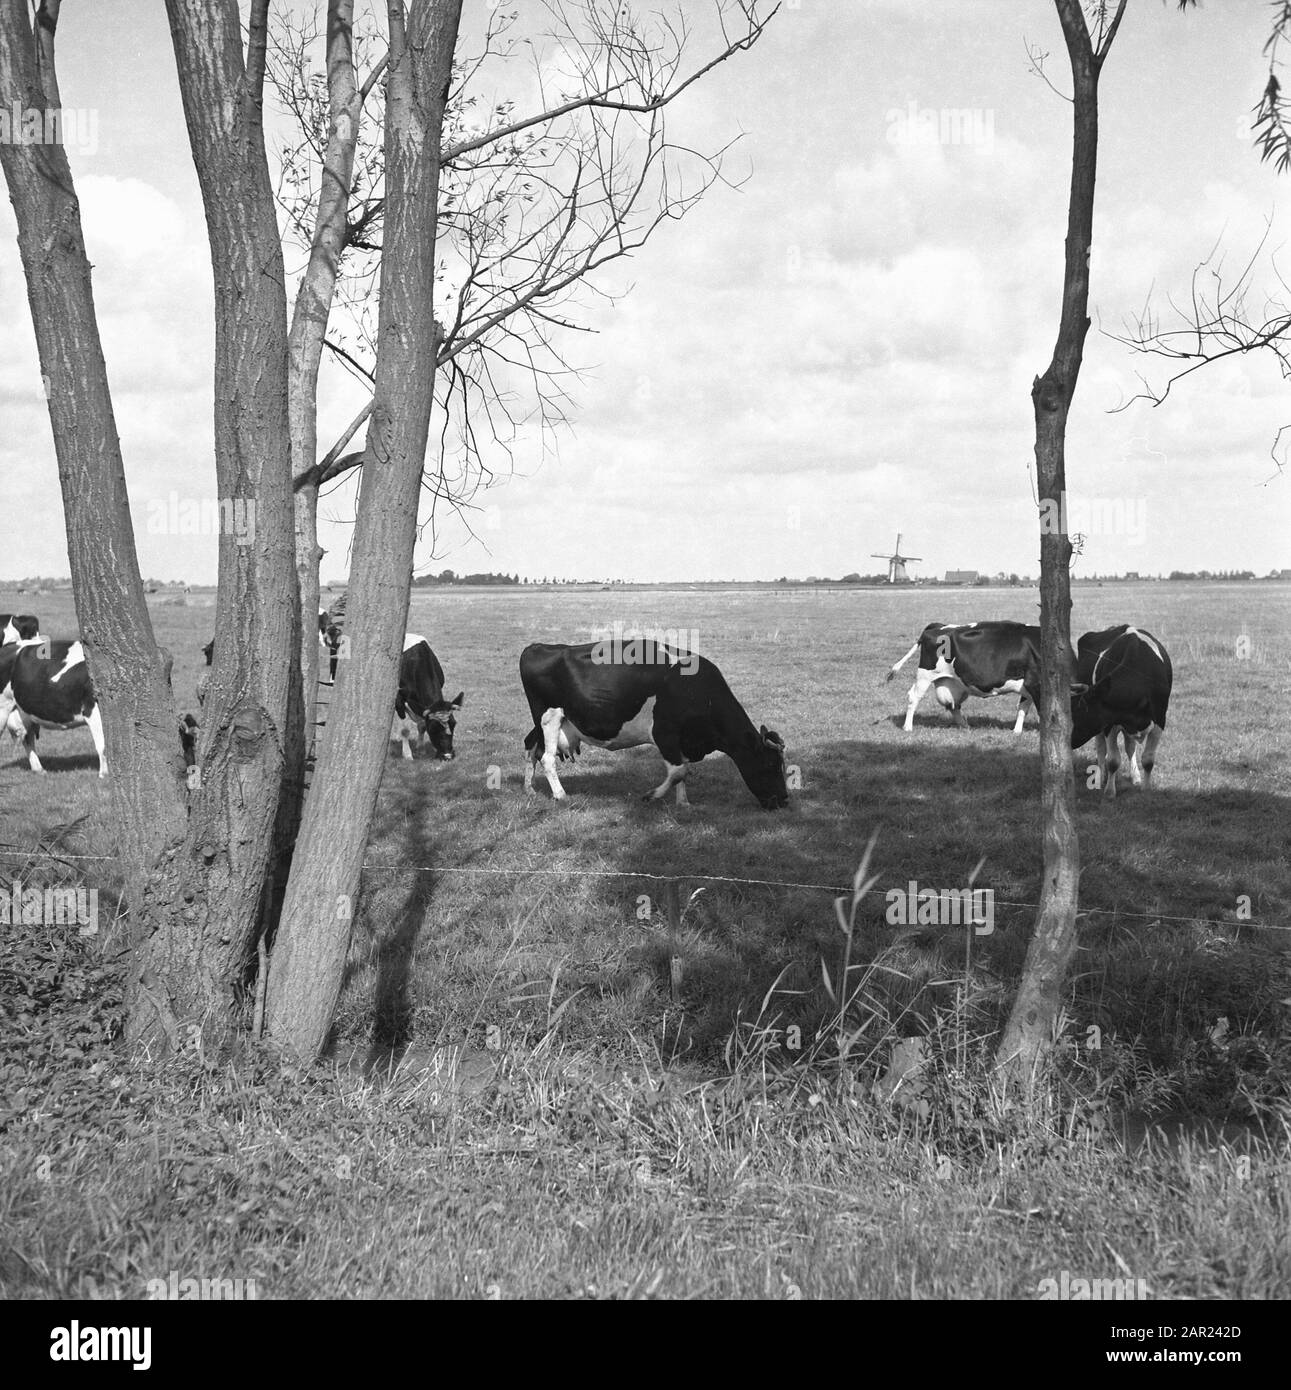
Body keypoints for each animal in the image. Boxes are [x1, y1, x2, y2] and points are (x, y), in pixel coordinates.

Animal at [0, 638, 106, 778]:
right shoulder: (93, 711)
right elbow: (102, 745)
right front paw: (105, 774)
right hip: (2, 707)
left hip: (23, 711)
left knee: (28, 738)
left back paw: (38, 769)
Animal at [519, 639, 788, 808]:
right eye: (770, 765)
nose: (785, 801)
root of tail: (538, 647)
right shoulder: (664, 732)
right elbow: (679, 771)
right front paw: (651, 795)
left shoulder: (681, 739)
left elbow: (683, 771)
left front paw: (683, 803)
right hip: (550, 717)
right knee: (547, 758)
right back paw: (561, 795)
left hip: (545, 723)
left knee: (531, 745)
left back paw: (529, 789)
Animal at [887, 621, 1042, 732]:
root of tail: (938, 625)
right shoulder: (1035, 683)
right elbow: (1041, 711)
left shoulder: (1028, 685)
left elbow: (1022, 709)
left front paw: (1017, 731)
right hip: (925, 675)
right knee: (914, 697)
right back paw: (908, 727)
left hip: (951, 682)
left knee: (953, 705)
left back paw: (965, 726)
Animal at [1071, 625, 1172, 798]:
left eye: (1081, 712)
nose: (1070, 741)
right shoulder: (1109, 724)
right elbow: (1113, 761)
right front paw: (1110, 792)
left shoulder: (1160, 719)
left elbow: (1148, 759)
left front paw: (1146, 788)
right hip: (1102, 730)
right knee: (1101, 749)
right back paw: (1101, 777)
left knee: (1130, 748)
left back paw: (1135, 777)